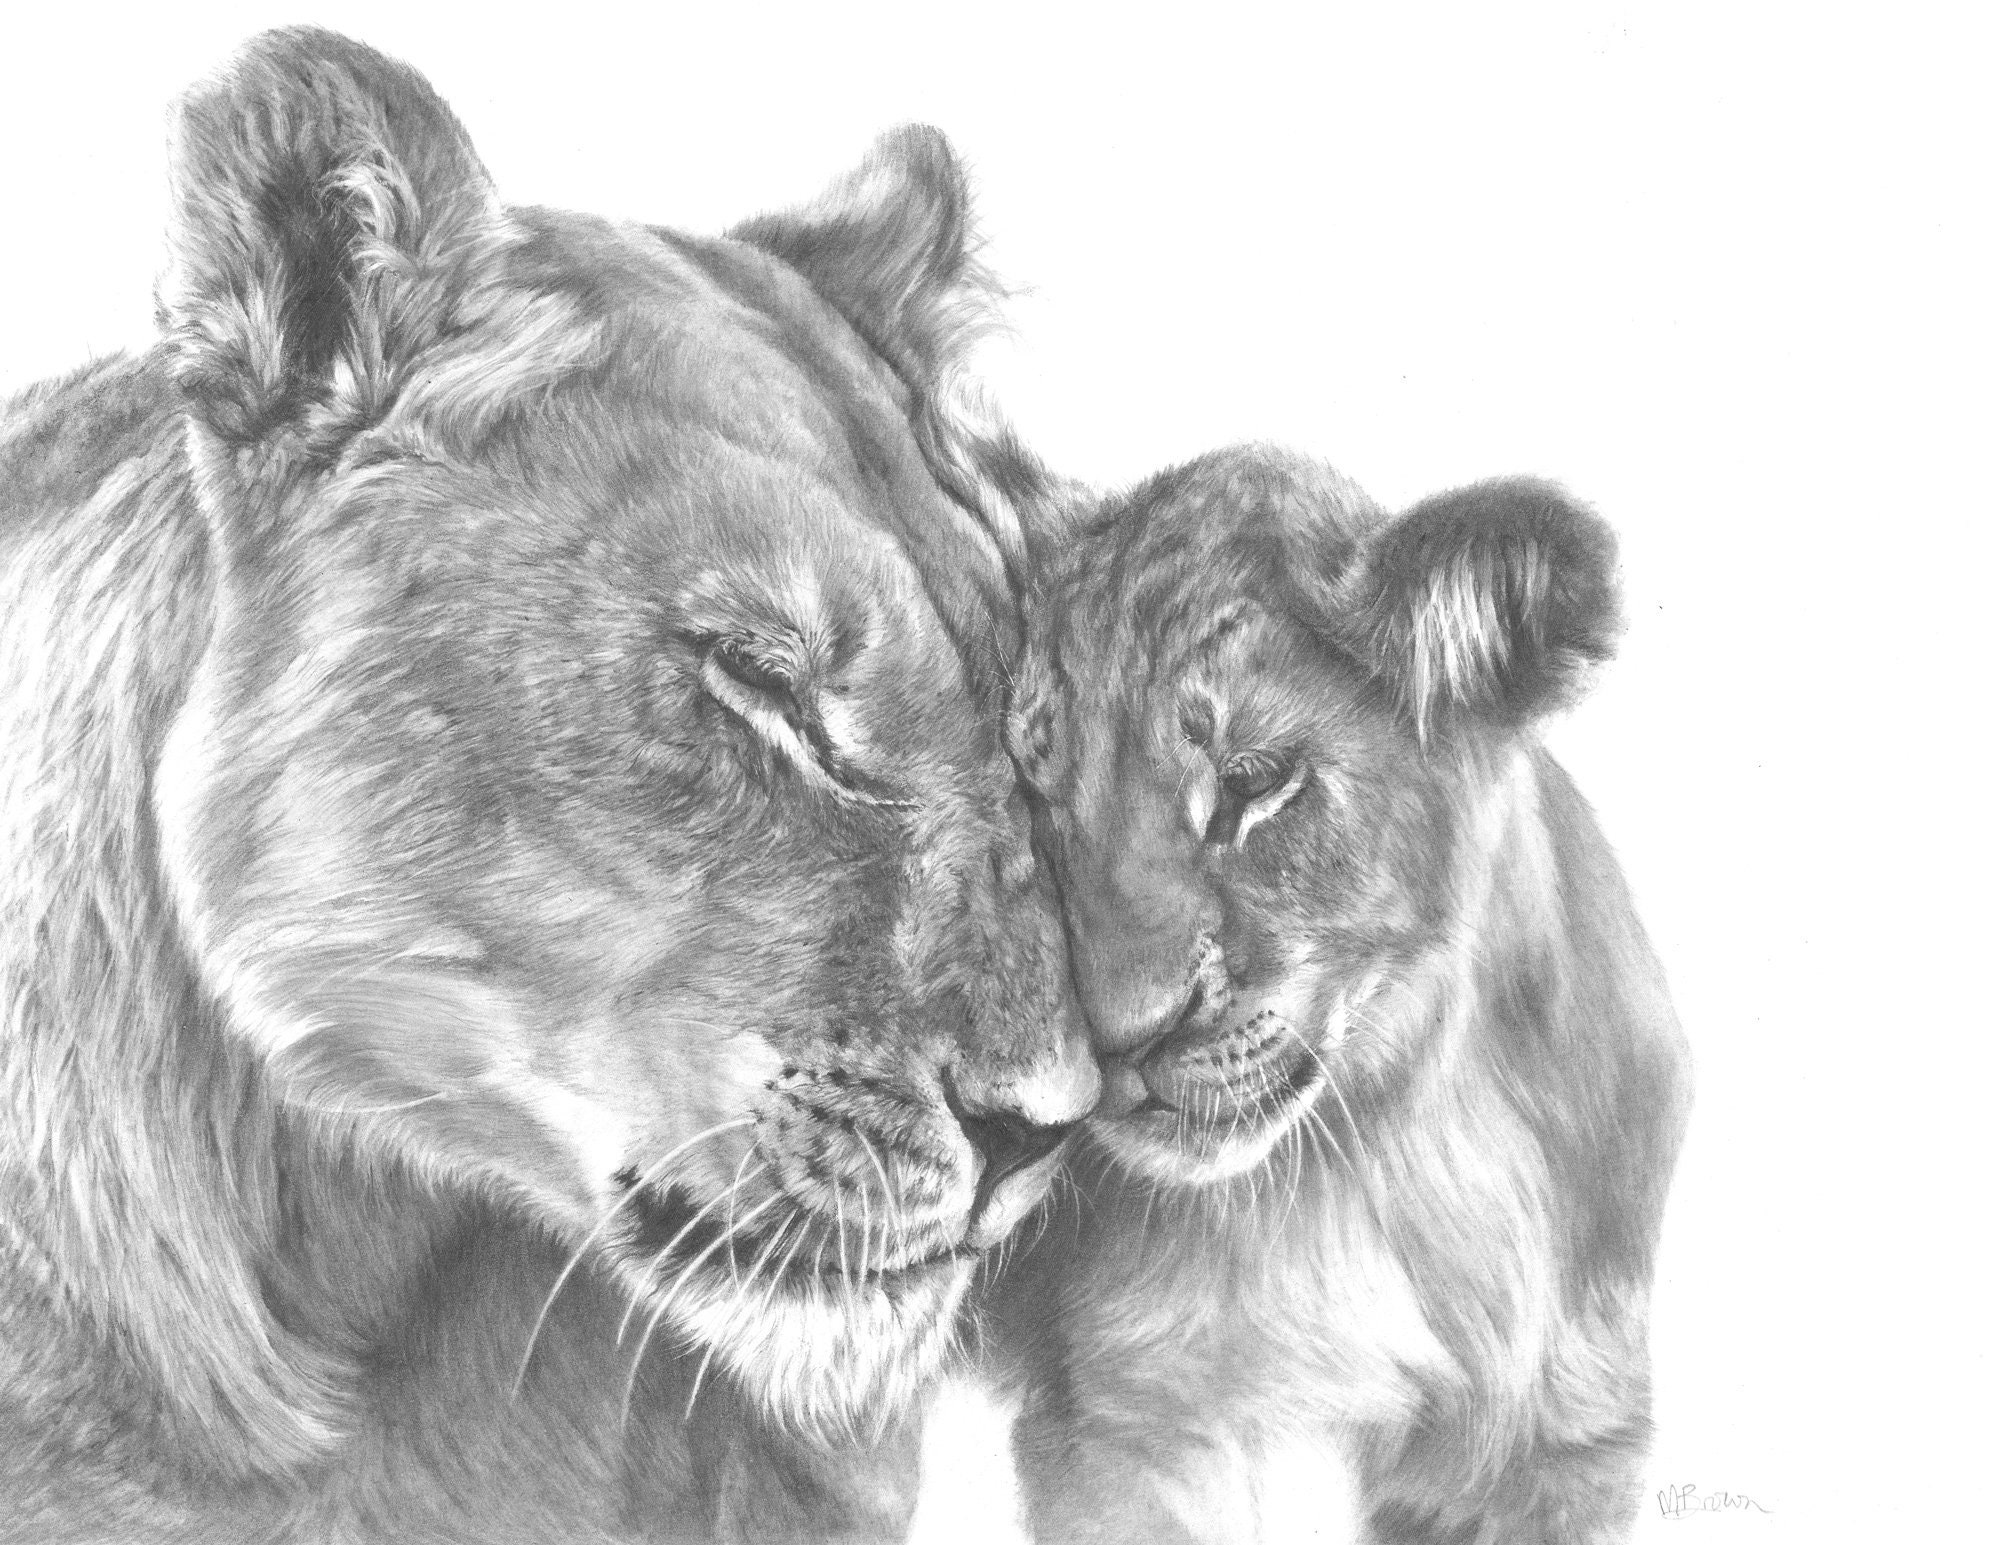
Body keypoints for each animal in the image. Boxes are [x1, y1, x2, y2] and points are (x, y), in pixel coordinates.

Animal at [986, 447, 1693, 1543]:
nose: (1114, 1045)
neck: (1396, 1154)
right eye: (1038, 797)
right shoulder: (1127, 1421)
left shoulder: (1574, 1440)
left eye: (1253, 782)